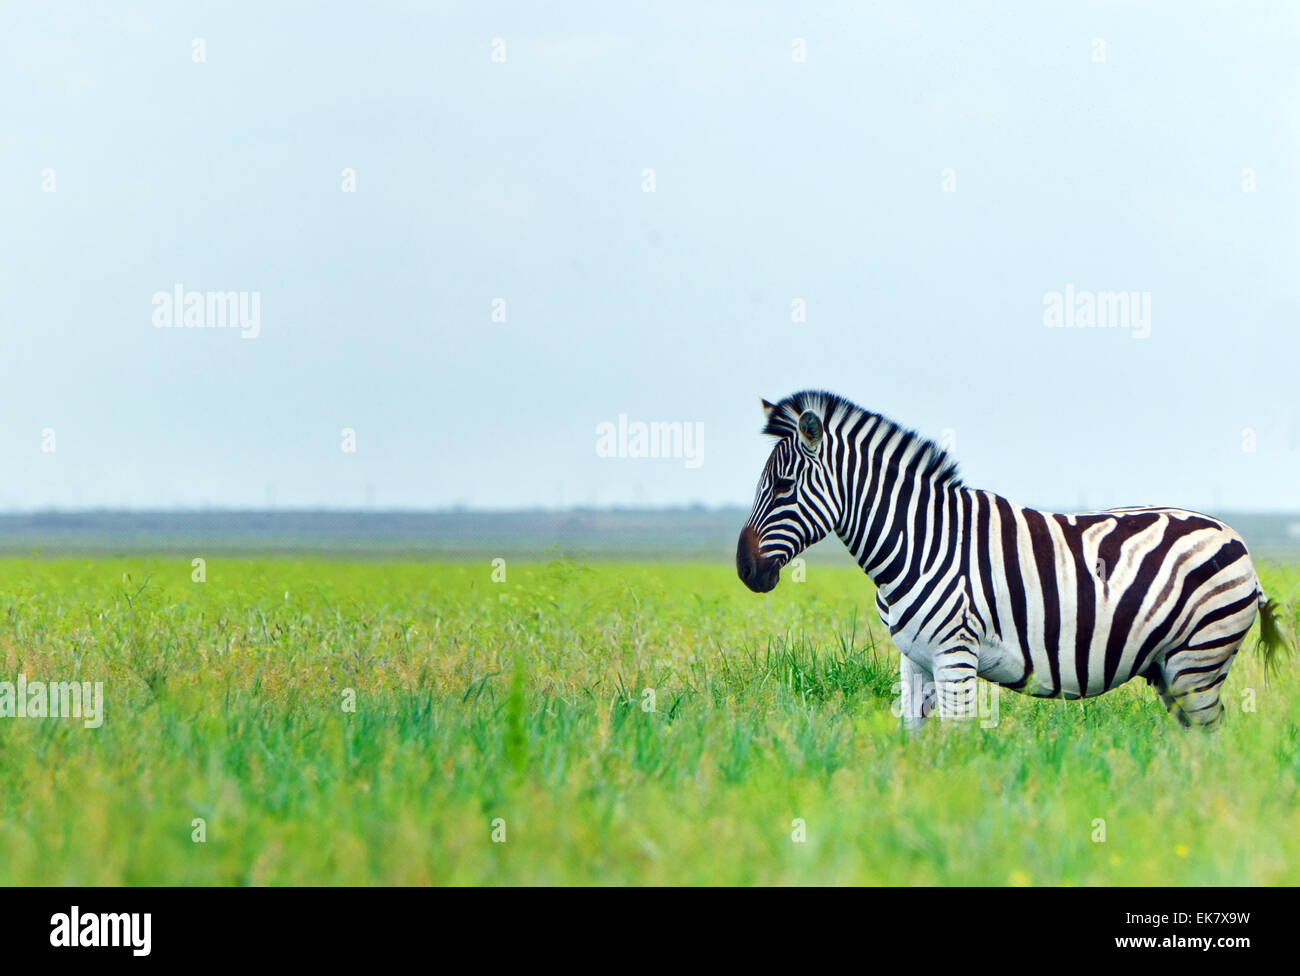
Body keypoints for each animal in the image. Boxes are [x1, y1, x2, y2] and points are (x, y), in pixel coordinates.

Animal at [736, 390, 1289, 729]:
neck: (916, 541)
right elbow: (912, 741)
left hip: (1199, 661)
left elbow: (955, 743)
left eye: (783, 485)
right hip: (1173, 667)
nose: (745, 569)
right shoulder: (913, 660)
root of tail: (1235, 538)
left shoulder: (955, 654)